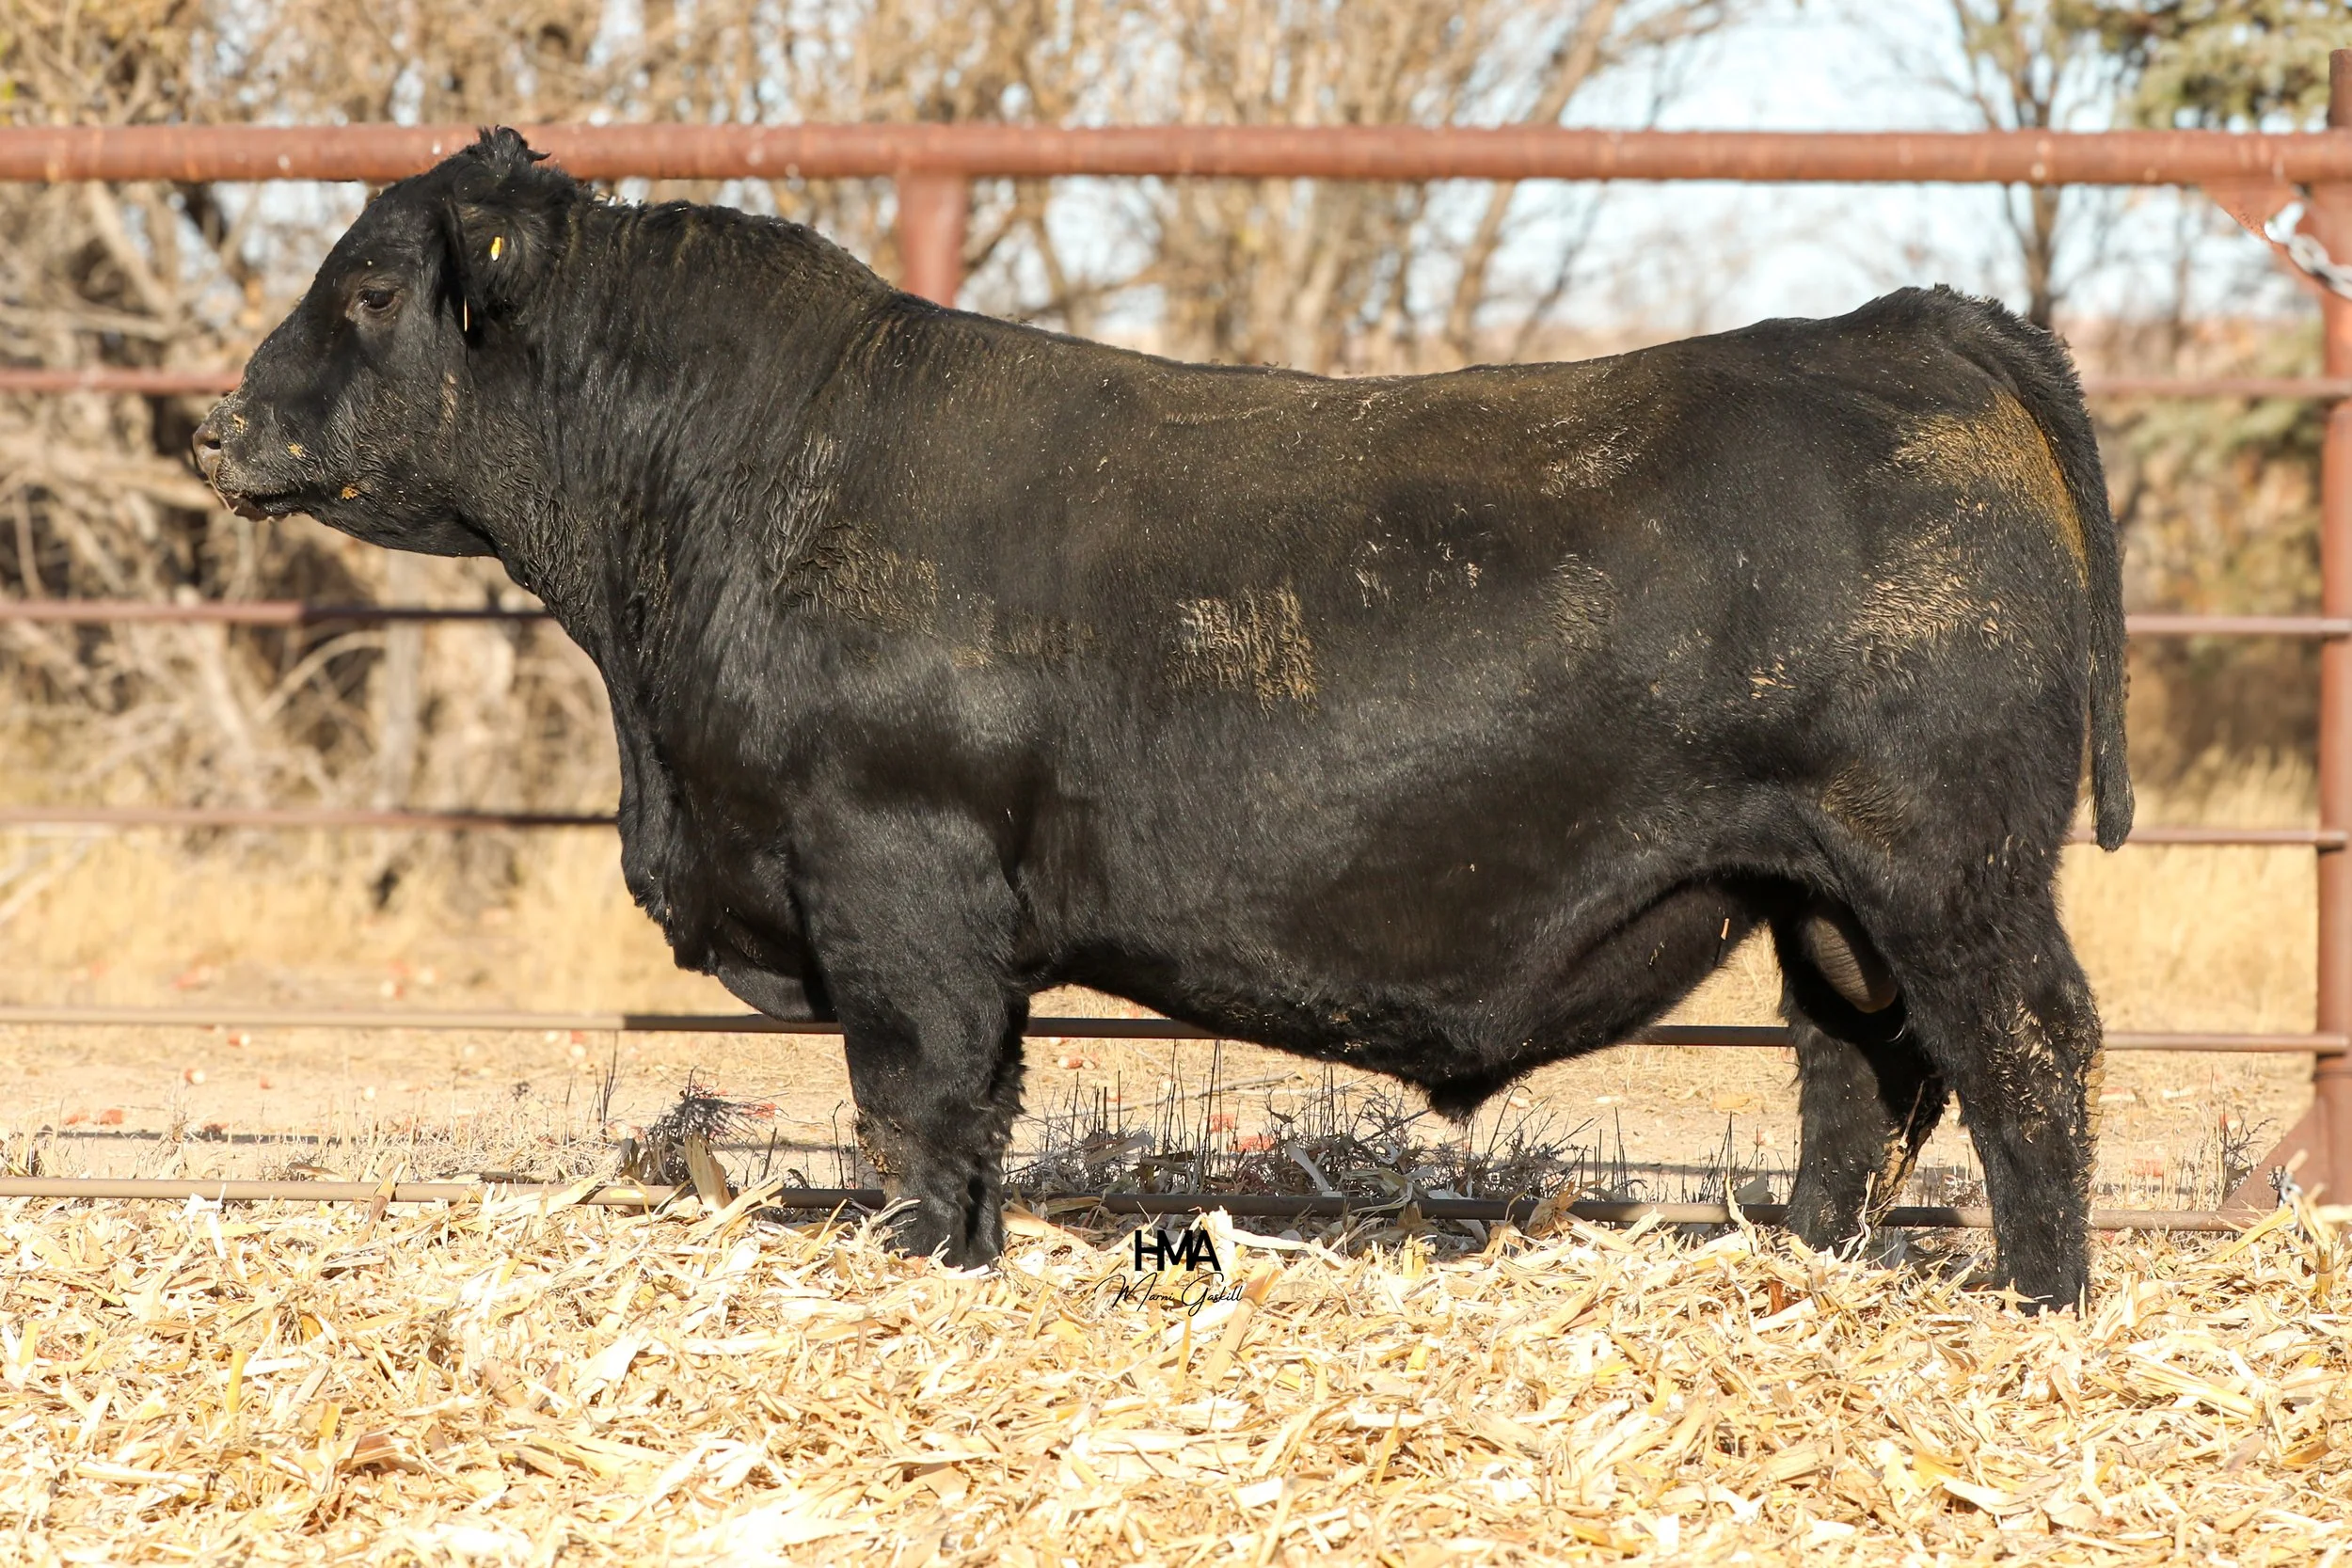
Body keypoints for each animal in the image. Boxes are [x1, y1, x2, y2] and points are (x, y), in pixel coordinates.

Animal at [195, 128, 2132, 1310]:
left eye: (367, 290)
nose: (218, 425)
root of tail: (1909, 323)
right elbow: (978, 1113)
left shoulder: (892, 879)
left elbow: (918, 1105)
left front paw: (920, 1265)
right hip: (1825, 891)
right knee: (1858, 1071)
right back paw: (1813, 1264)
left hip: (1945, 858)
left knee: (2027, 1047)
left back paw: (2037, 1298)